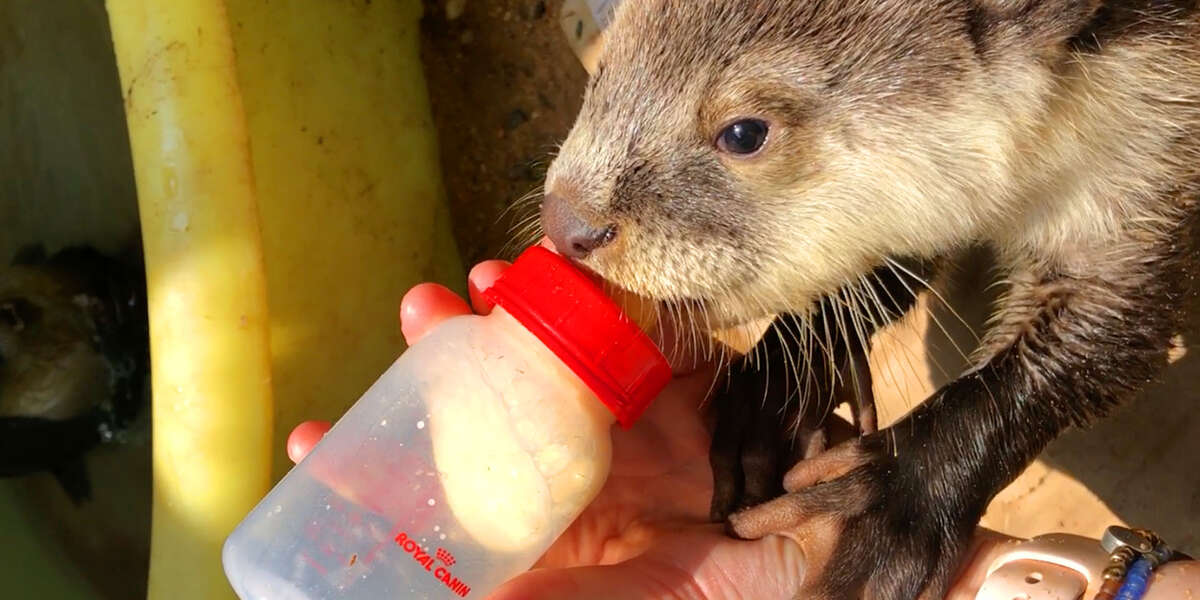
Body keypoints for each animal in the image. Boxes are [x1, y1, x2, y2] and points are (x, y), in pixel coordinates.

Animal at [535, 1, 1200, 598]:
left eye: (744, 133)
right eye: (601, 72)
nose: (568, 221)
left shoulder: (1149, 149)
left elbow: (1104, 333)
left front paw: (886, 507)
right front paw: (772, 400)